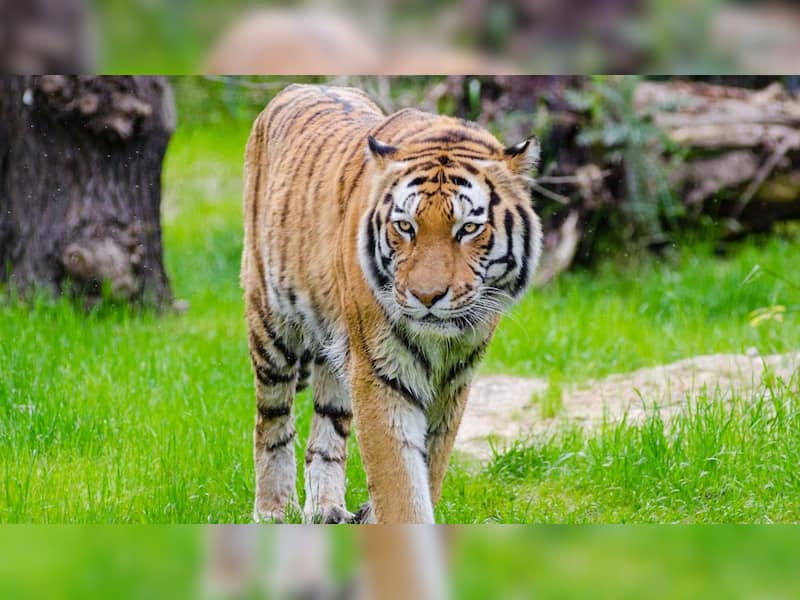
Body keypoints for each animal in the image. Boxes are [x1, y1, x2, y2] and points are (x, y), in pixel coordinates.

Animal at [241, 83, 542, 524]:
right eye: (405, 226)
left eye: (469, 228)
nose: (427, 296)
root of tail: (300, 86)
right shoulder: (381, 373)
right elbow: (400, 482)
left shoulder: (454, 382)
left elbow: (429, 468)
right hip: (271, 325)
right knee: (272, 421)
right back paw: (273, 510)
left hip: (336, 352)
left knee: (328, 428)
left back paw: (326, 508)